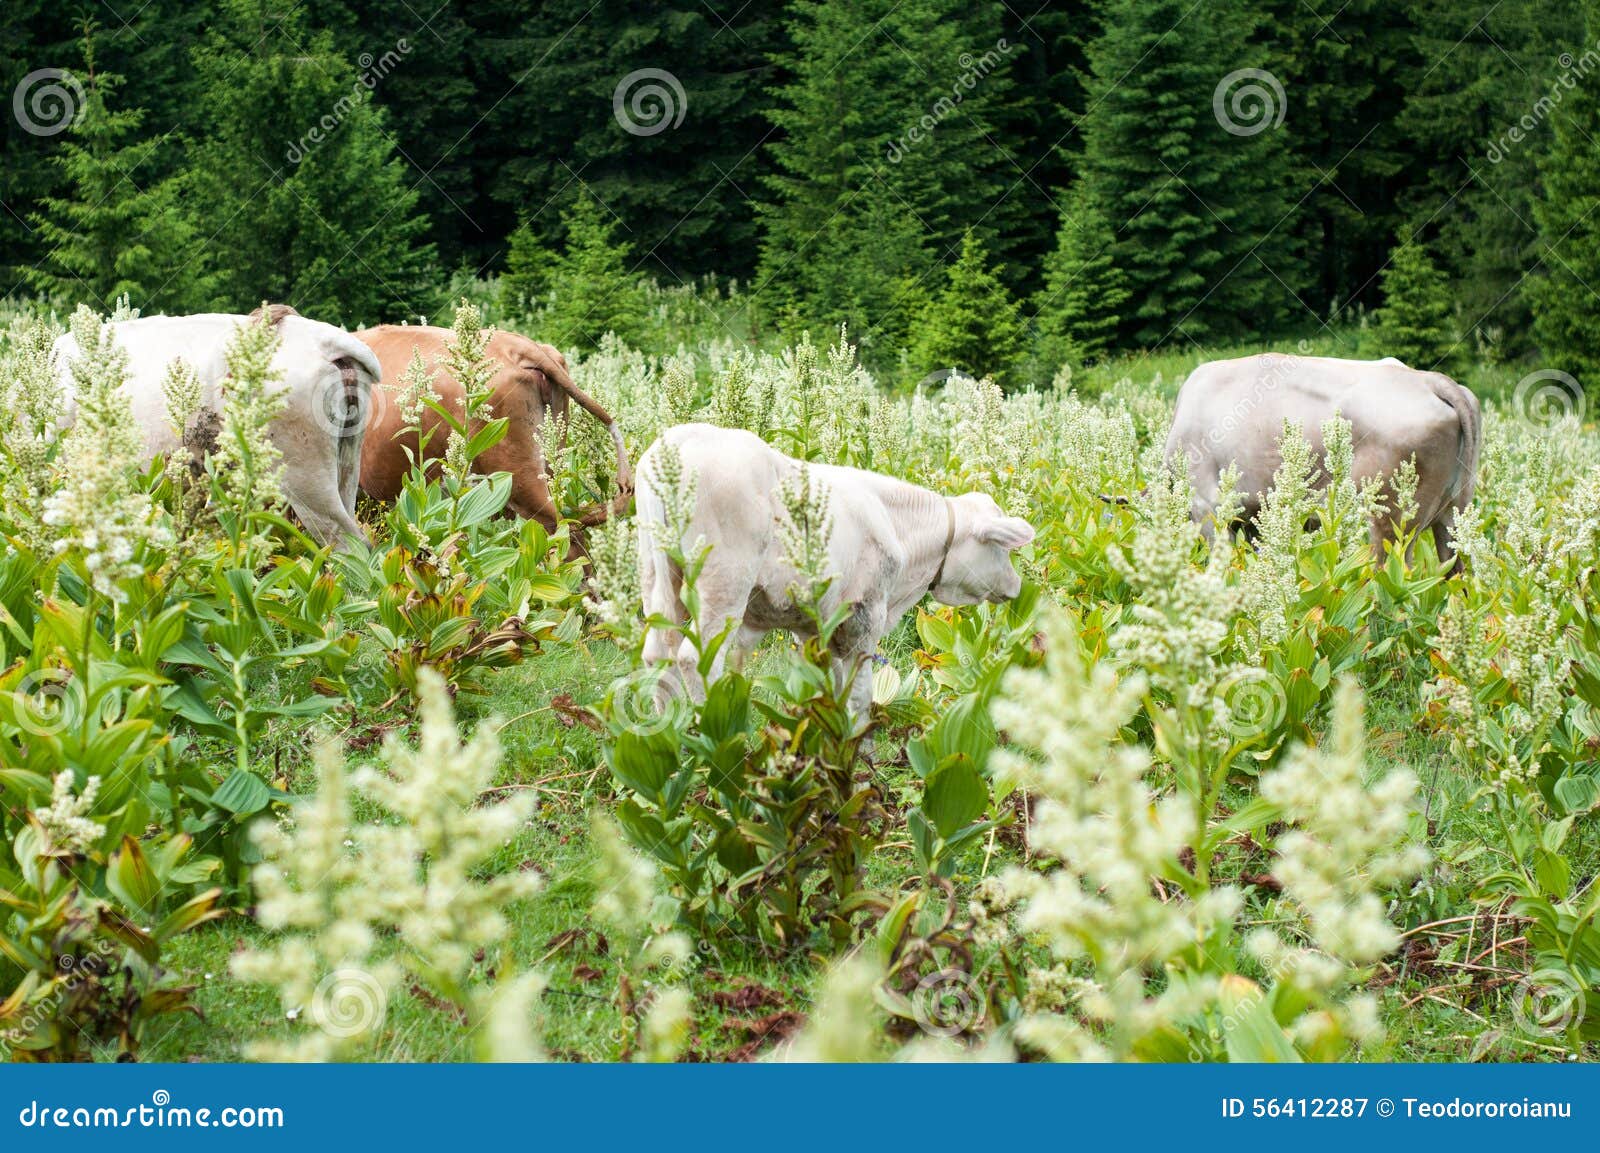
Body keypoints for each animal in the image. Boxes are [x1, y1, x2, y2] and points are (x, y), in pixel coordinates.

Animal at [636, 423, 1035, 720]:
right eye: (1001, 548)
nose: (1016, 585)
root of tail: (678, 440)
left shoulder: (813, 628)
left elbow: (827, 688)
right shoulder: (866, 616)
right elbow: (859, 696)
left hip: (655, 575)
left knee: (657, 655)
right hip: (723, 584)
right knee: (694, 659)